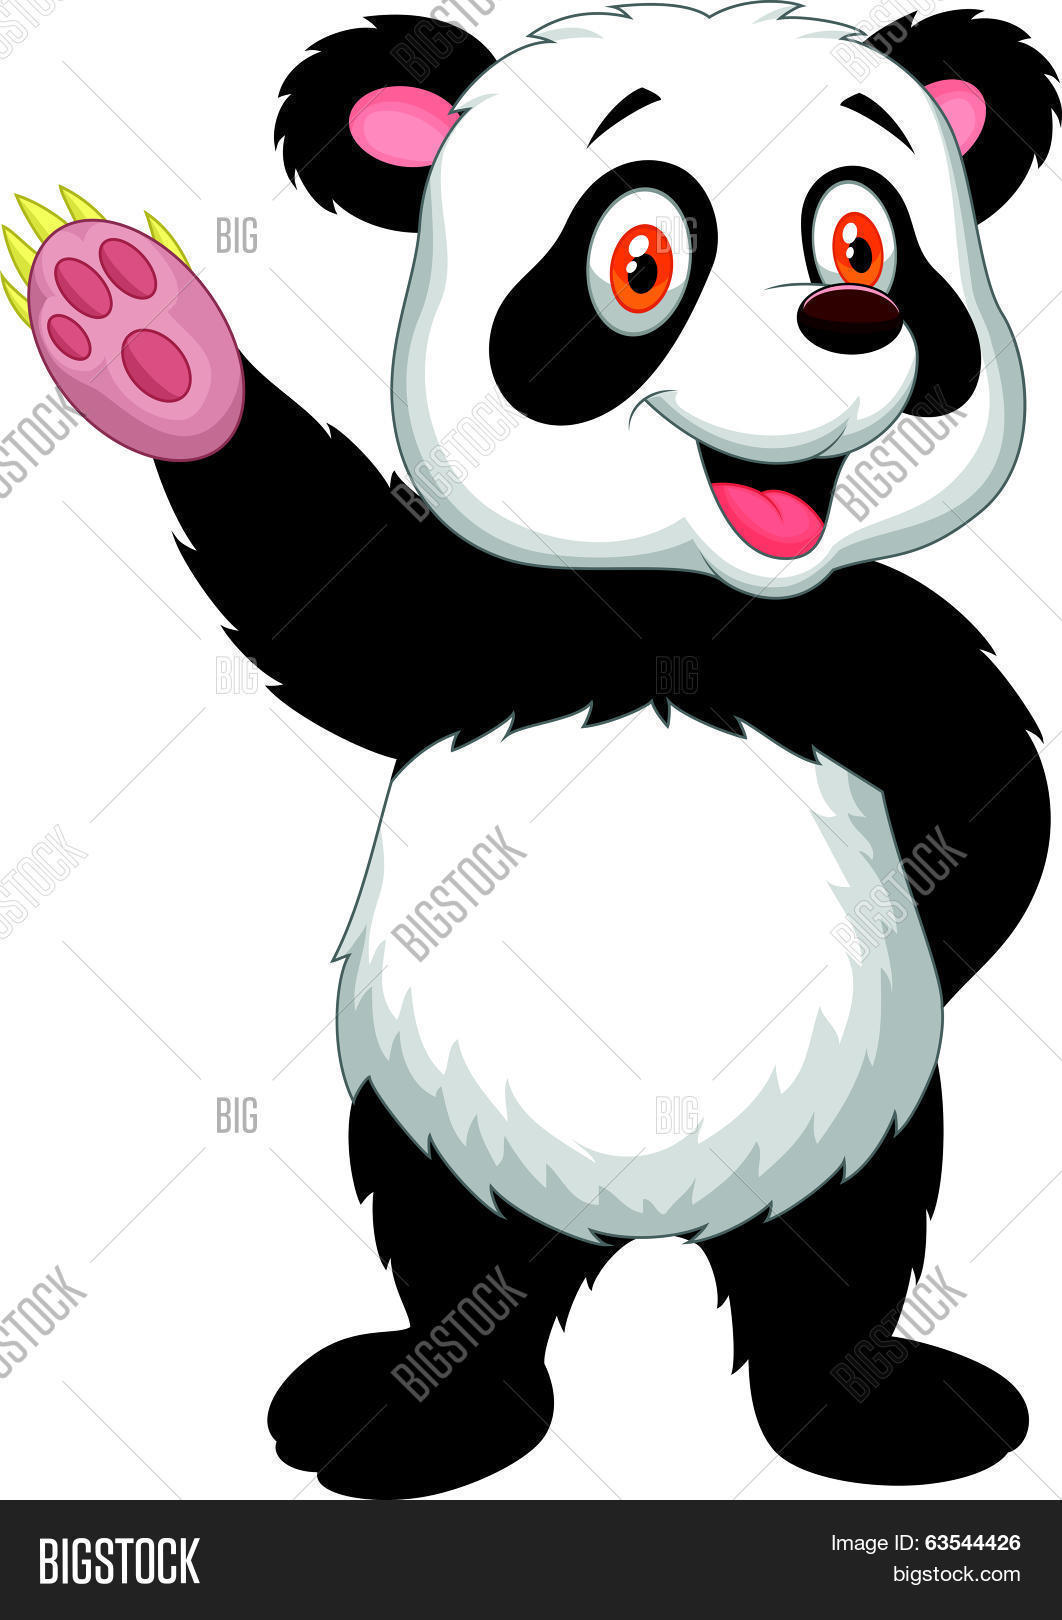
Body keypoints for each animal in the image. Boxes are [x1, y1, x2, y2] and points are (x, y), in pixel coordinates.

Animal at [7, 3, 1057, 1498]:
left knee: (842, 1259)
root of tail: (659, 1226)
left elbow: (983, 807)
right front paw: (141, 338)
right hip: (439, 1120)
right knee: (461, 1264)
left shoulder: (864, 643)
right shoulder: (489, 632)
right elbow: (332, 596)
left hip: (858, 1127)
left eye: (863, 238)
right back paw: (417, 1412)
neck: (679, 622)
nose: (848, 315)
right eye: (640, 261)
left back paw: (877, 1409)